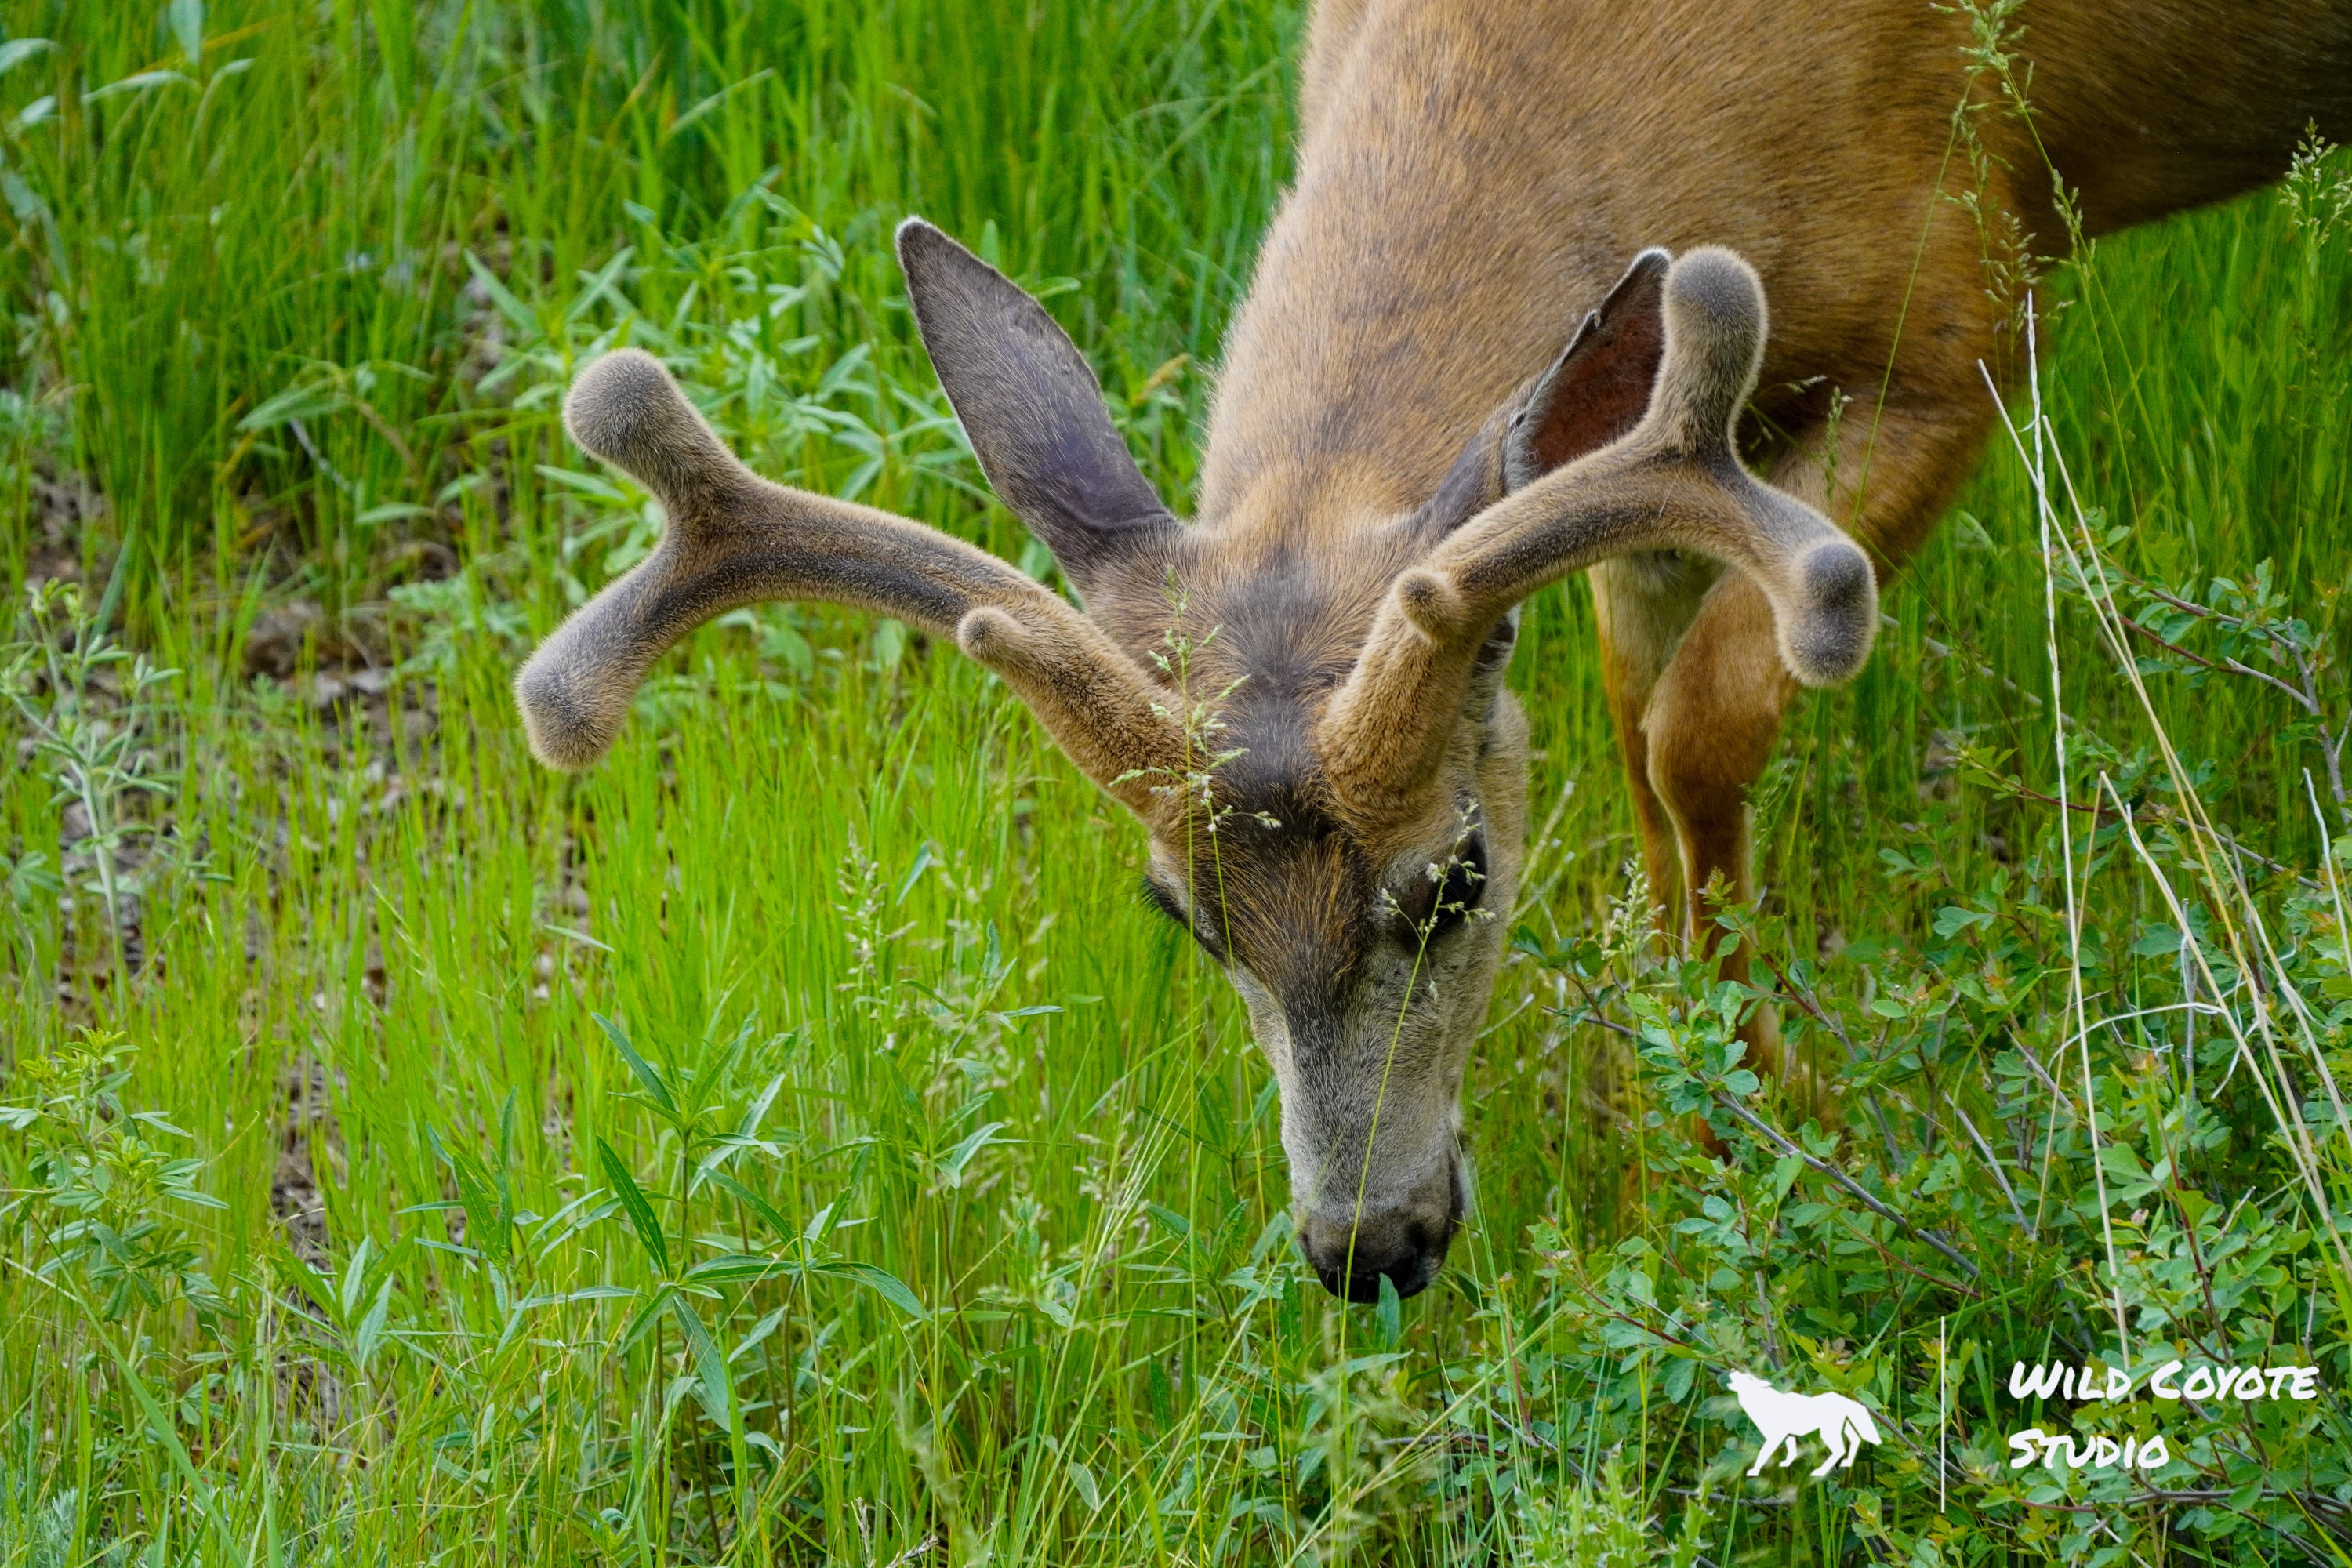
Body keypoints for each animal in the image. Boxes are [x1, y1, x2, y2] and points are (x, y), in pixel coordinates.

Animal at [515, 0, 2352, 1302]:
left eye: (1457, 879)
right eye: (1178, 915)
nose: (1366, 1251)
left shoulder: (1968, 301)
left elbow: (1700, 728)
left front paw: (1780, 1118)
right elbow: (1632, 720)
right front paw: (1697, 1118)